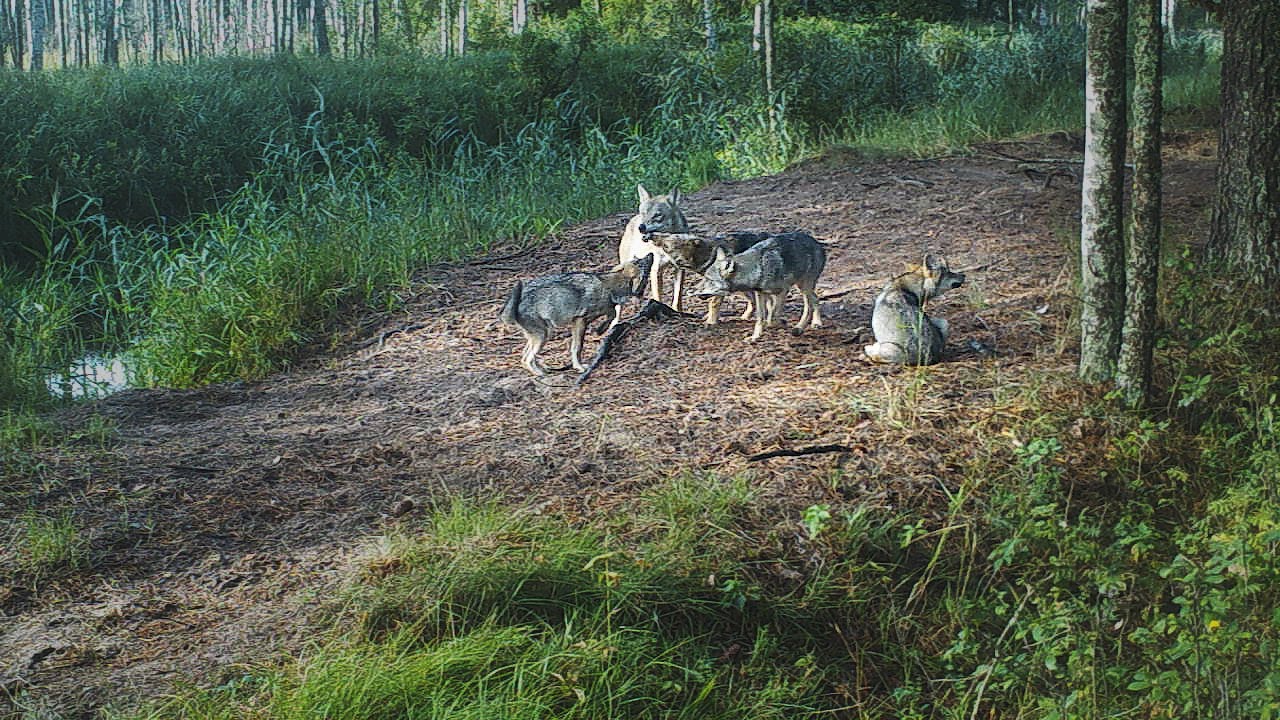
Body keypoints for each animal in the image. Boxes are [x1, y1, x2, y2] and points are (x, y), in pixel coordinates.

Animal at [500, 254, 653, 376]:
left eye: (638, 259)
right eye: (641, 263)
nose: (651, 253)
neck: (608, 286)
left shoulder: (585, 320)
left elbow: (612, 314)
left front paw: (600, 330)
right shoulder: (580, 321)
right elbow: (577, 348)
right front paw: (579, 367)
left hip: (541, 335)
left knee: (524, 356)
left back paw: (543, 369)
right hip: (544, 335)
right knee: (526, 359)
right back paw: (540, 374)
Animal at [614, 185, 690, 323]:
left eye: (657, 215)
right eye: (644, 214)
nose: (641, 227)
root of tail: (632, 219)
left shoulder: (680, 269)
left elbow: (677, 297)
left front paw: (678, 312)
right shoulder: (656, 271)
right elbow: (658, 298)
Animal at [695, 231, 826, 341]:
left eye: (709, 280)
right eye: (704, 278)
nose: (695, 292)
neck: (759, 267)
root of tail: (818, 243)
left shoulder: (783, 291)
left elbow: (773, 315)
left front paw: (778, 323)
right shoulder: (760, 293)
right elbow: (761, 317)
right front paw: (755, 337)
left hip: (804, 287)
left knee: (809, 306)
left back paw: (802, 327)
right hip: (802, 286)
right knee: (815, 299)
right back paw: (814, 323)